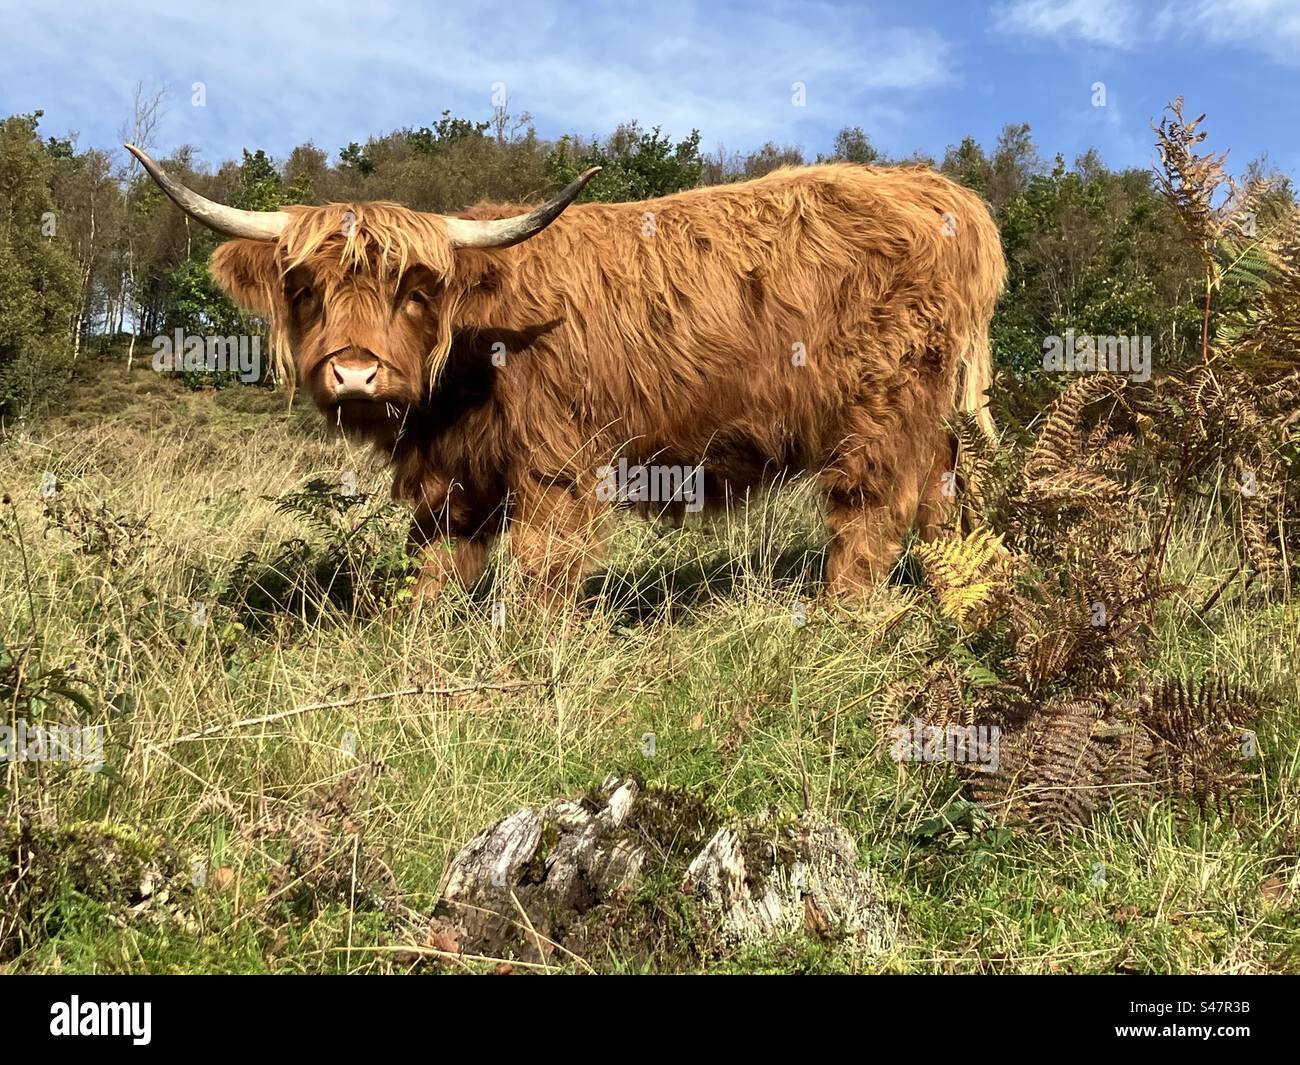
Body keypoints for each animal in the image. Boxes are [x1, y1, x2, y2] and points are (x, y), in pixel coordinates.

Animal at [129, 144, 1006, 605]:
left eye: (416, 292)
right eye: (306, 289)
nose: (353, 374)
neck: (475, 358)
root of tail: (937, 188)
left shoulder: (558, 462)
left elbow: (542, 569)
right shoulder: (448, 474)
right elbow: (434, 566)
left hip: (885, 406)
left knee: (872, 511)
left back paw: (841, 619)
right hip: (931, 418)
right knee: (944, 499)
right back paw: (956, 599)